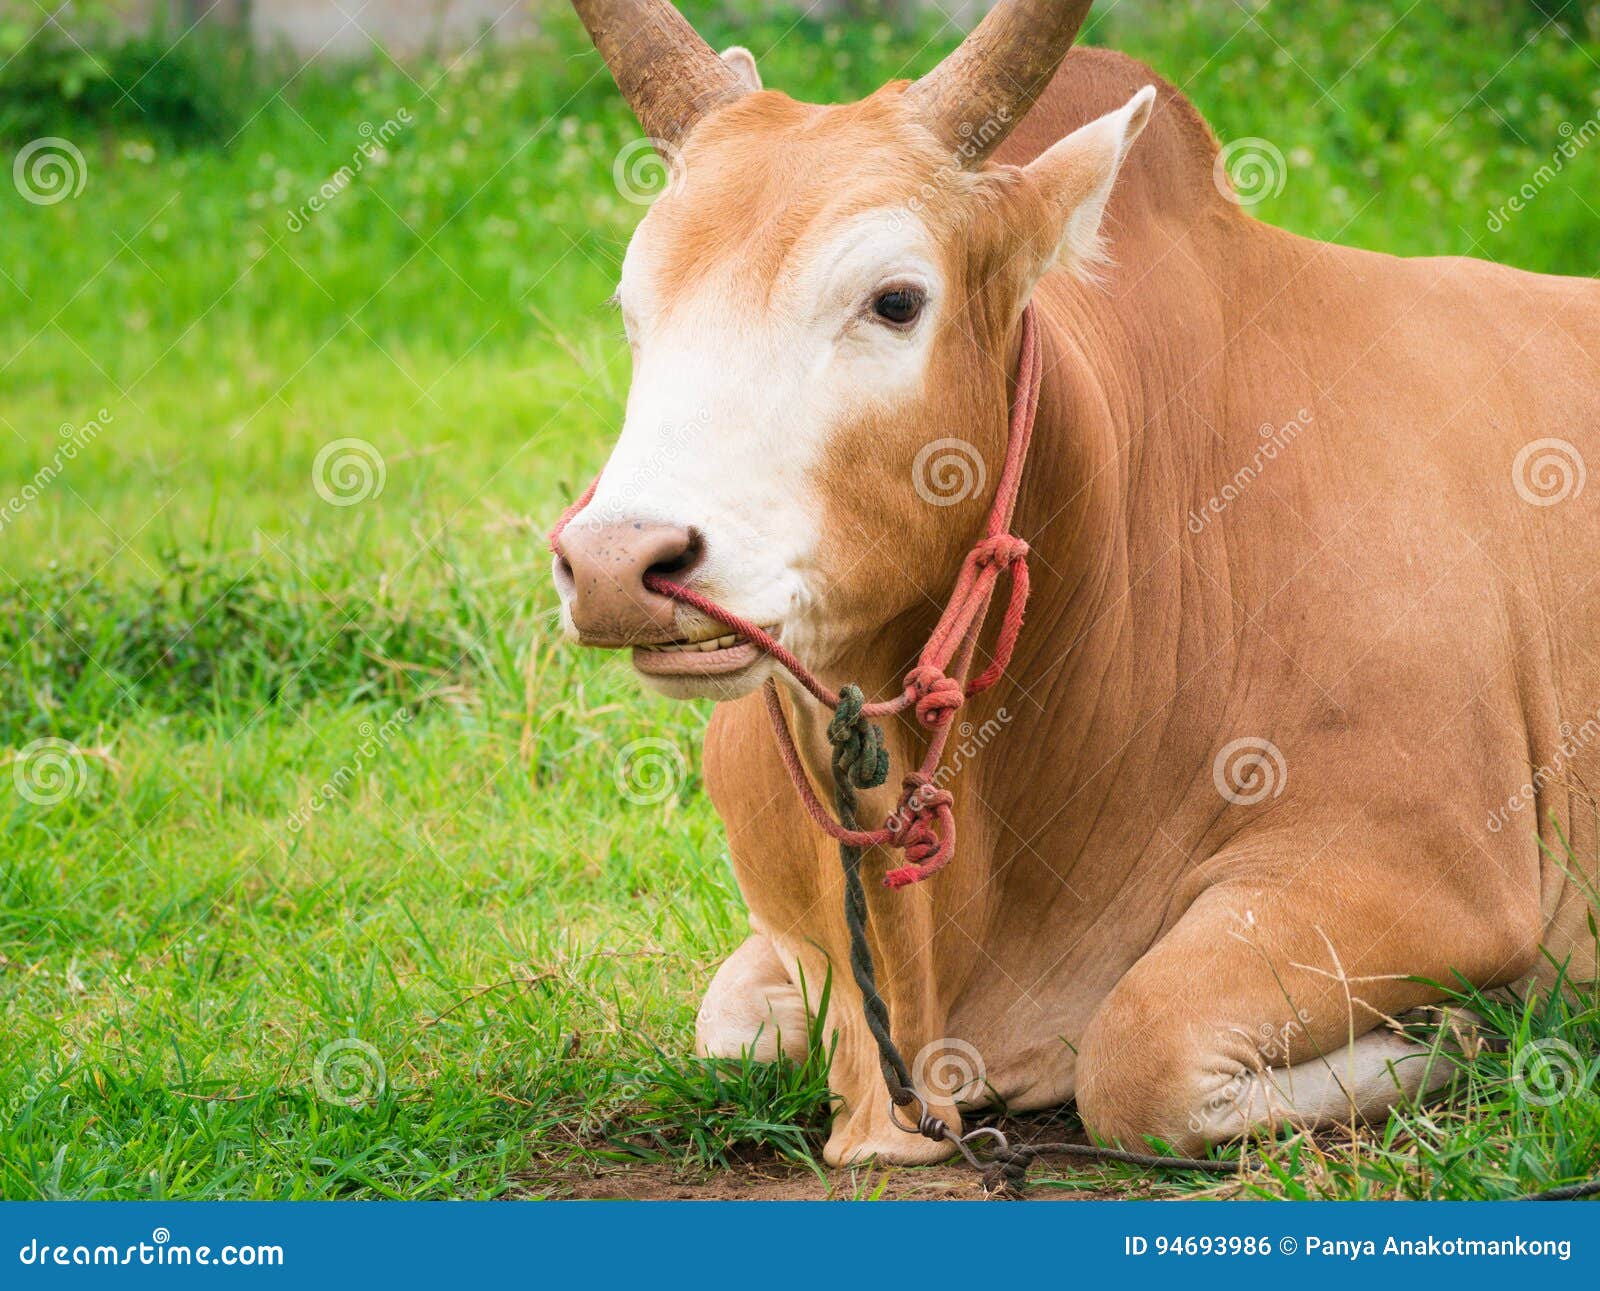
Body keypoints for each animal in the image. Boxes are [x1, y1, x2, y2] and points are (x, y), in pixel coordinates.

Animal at [551, 0, 1600, 1166]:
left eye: (895, 300)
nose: (617, 562)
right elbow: (731, 1025)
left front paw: (1459, 1032)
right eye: (633, 306)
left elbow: (1135, 1053)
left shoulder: (1437, 881)